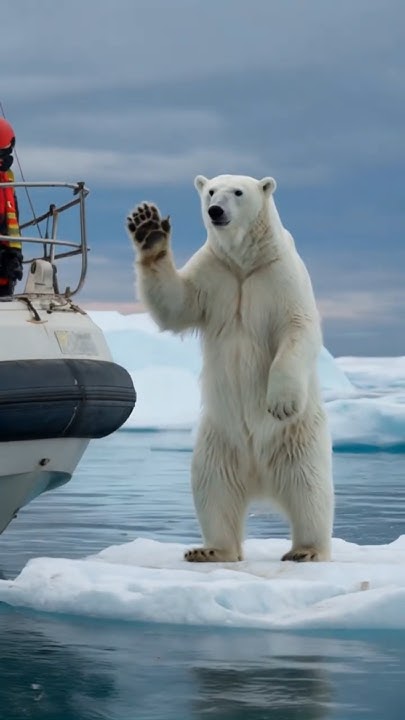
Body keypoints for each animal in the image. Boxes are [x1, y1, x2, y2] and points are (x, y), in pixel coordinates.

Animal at [126, 174, 334, 563]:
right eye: (211, 191)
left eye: (238, 192)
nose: (216, 211)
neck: (245, 262)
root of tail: (261, 479)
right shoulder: (215, 273)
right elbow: (176, 303)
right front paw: (148, 228)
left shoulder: (280, 275)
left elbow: (298, 328)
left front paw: (280, 402)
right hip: (219, 441)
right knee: (213, 489)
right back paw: (212, 550)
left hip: (298, 440)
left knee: (309, 490)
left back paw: (306, 550)